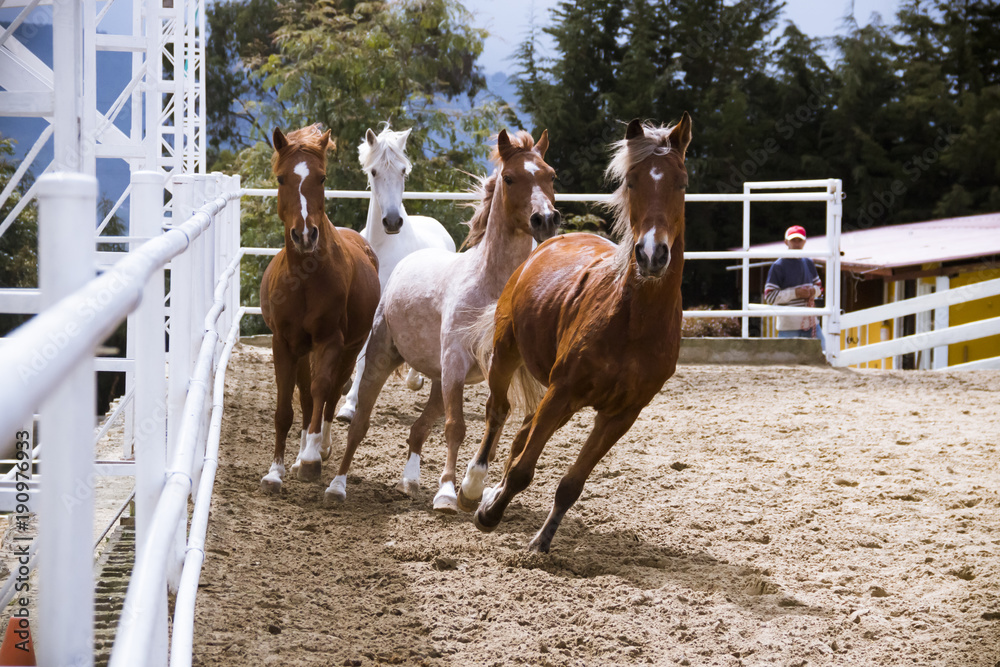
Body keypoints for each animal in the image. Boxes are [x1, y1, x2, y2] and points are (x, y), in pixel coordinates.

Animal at [258, 124, 381, 494]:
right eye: (282, 178)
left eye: (322, 177)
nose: (305, 235)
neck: (305, 278)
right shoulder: (283, 344)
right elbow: (286, 407)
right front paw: (275, 472)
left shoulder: (331, 341)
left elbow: (323, 390)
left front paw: (312, 458)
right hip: (302, 351)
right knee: (305, 398)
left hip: (349, 349)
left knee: (329, 397)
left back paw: (318, 449)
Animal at [334, 125, 456, 423]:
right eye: (374, 171)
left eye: (403, 171)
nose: (392, 221)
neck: (380, 249)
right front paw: (348, 400)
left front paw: (351, 404)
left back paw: (416, 380)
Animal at [457, 114, 692, 552]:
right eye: (632, 181)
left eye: (681, 182)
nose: (652, 254)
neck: (633, 322)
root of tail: (551, 241)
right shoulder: (562, 391)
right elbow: (523, 469)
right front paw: (489, 512)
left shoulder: (621, 415)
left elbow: (571, 484)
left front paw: (542, 540)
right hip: (507, 351)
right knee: (498, 412)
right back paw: (473, 488)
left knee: (520, 435)